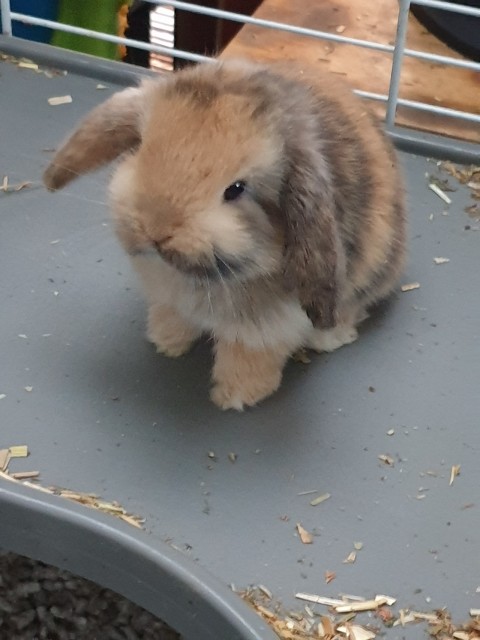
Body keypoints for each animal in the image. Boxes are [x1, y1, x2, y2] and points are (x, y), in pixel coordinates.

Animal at [43, 58, 406, 411]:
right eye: (142, 146)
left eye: (236, 189)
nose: (156, 229)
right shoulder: (169, 299)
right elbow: (173, 318)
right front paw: (166, 342)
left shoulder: (268, 328)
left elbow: (249, 357)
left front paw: (235, 396)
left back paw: (330, 337)